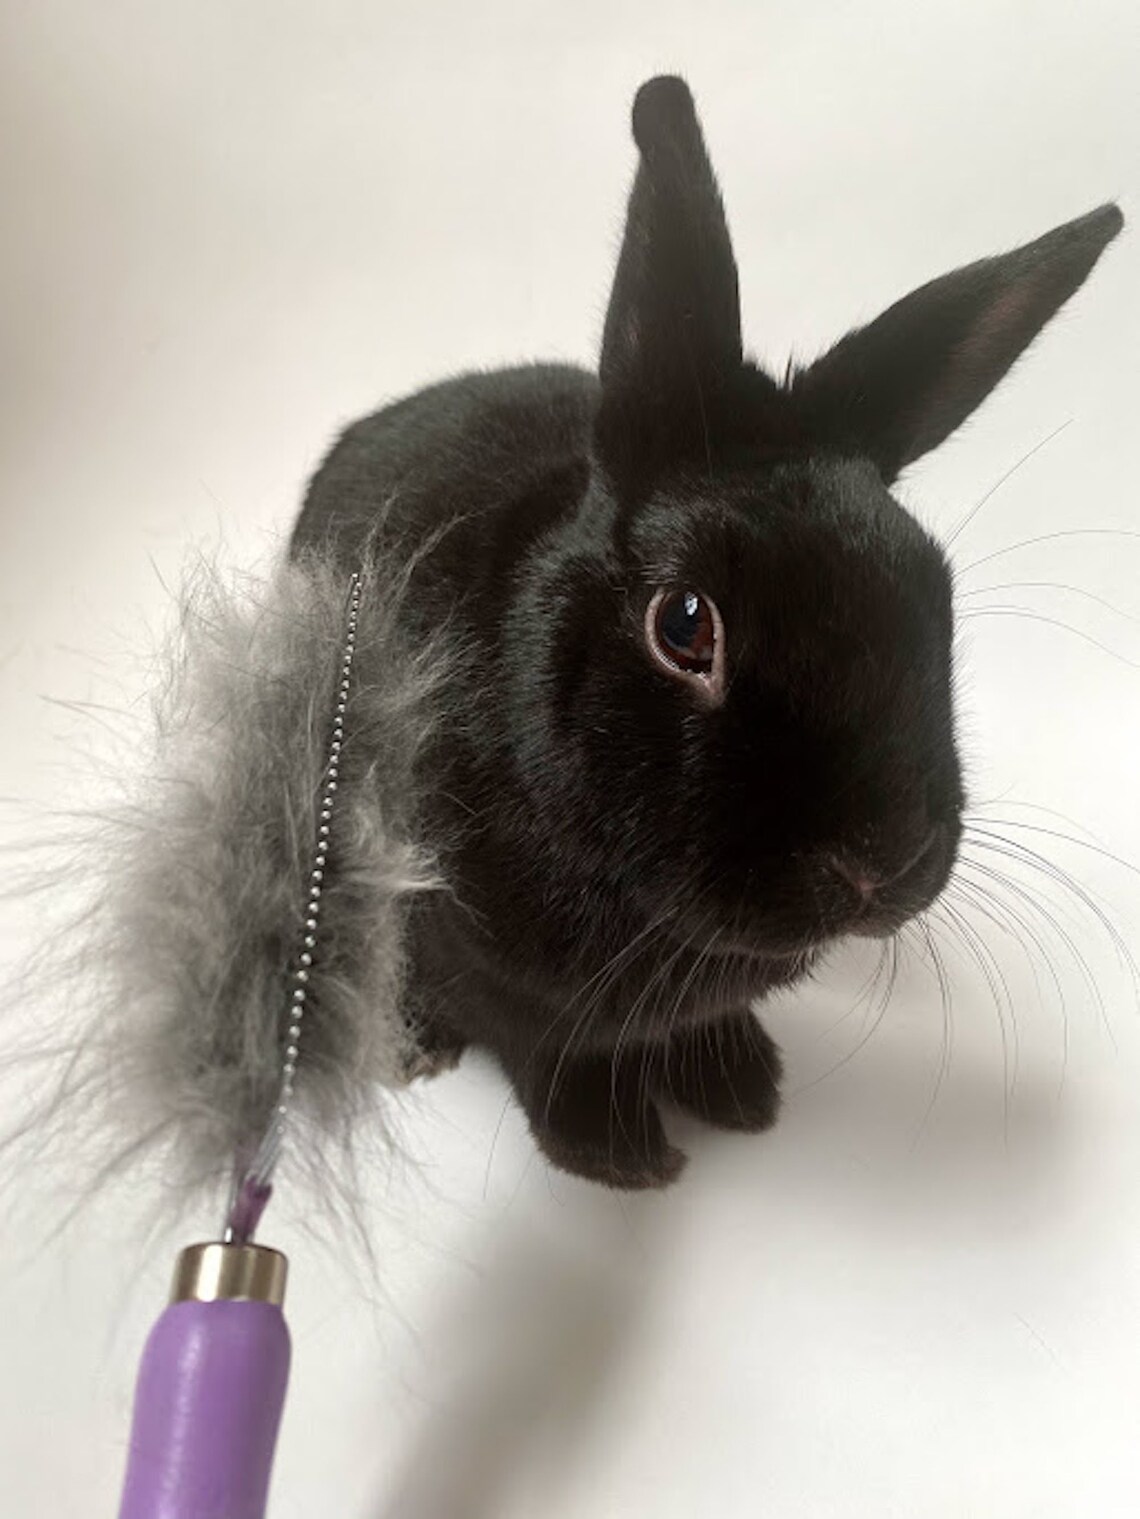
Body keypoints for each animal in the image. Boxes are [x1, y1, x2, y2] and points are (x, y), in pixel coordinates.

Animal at [291, 75, 1122, 1189]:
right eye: (685, 625)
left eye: (934, 593)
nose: (882, 863)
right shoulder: (510, 993)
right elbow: (548, 1056)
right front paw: (619, 1156)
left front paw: (740, 1089)